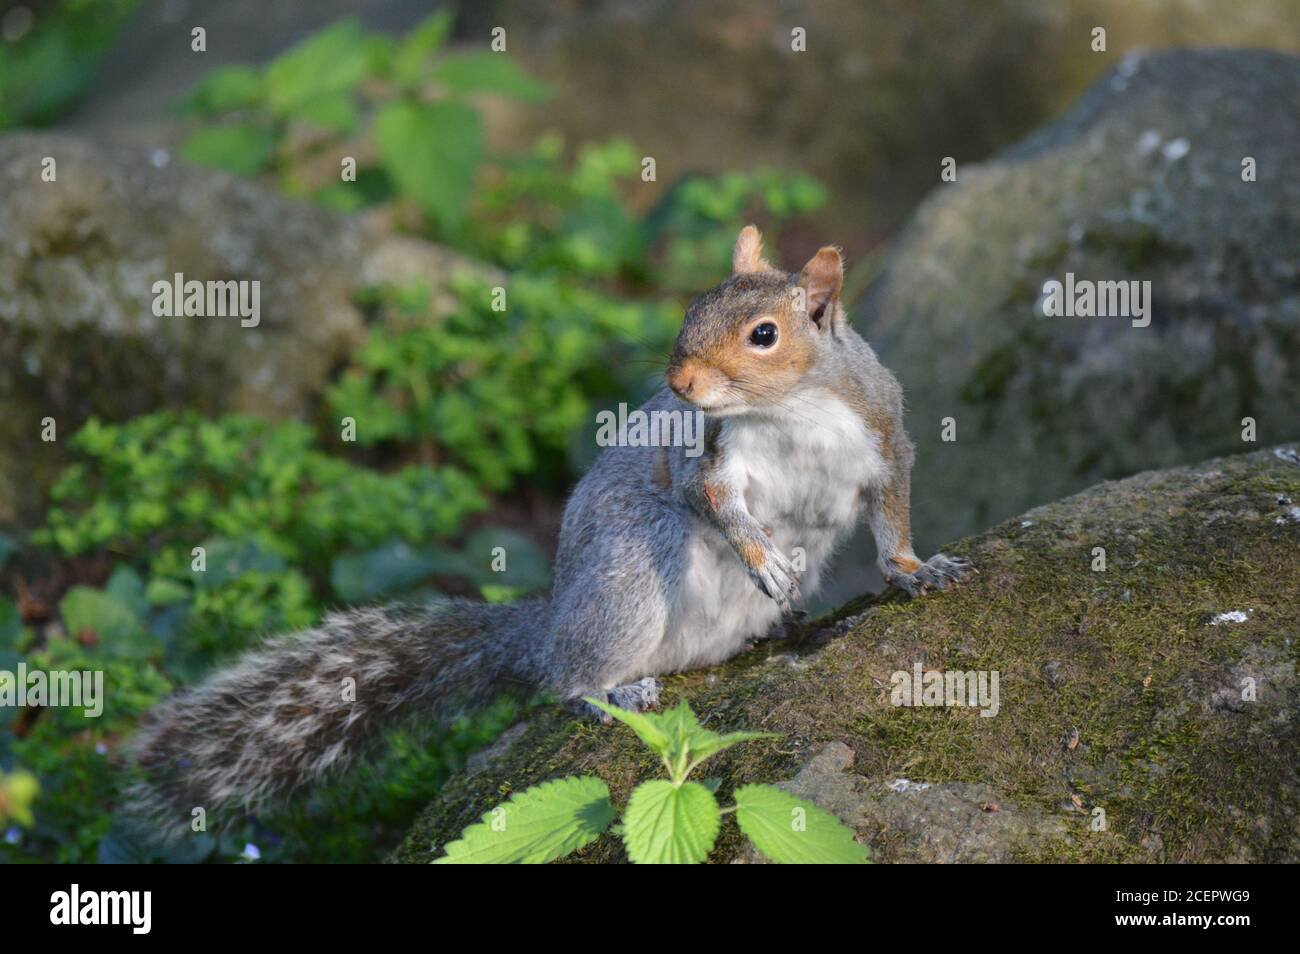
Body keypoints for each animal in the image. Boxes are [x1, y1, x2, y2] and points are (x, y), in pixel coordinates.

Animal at [127, 226, 972, 831]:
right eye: (692, 309)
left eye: (763, 334)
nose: (678, 382)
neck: (789, 410)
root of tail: (553, 622)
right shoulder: (708, 457)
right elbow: (715, 503)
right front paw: (763, 556)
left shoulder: (884, 440)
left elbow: (892, 519)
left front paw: (914, 570)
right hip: (632, 573)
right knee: (567, 680)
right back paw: (614, 687)